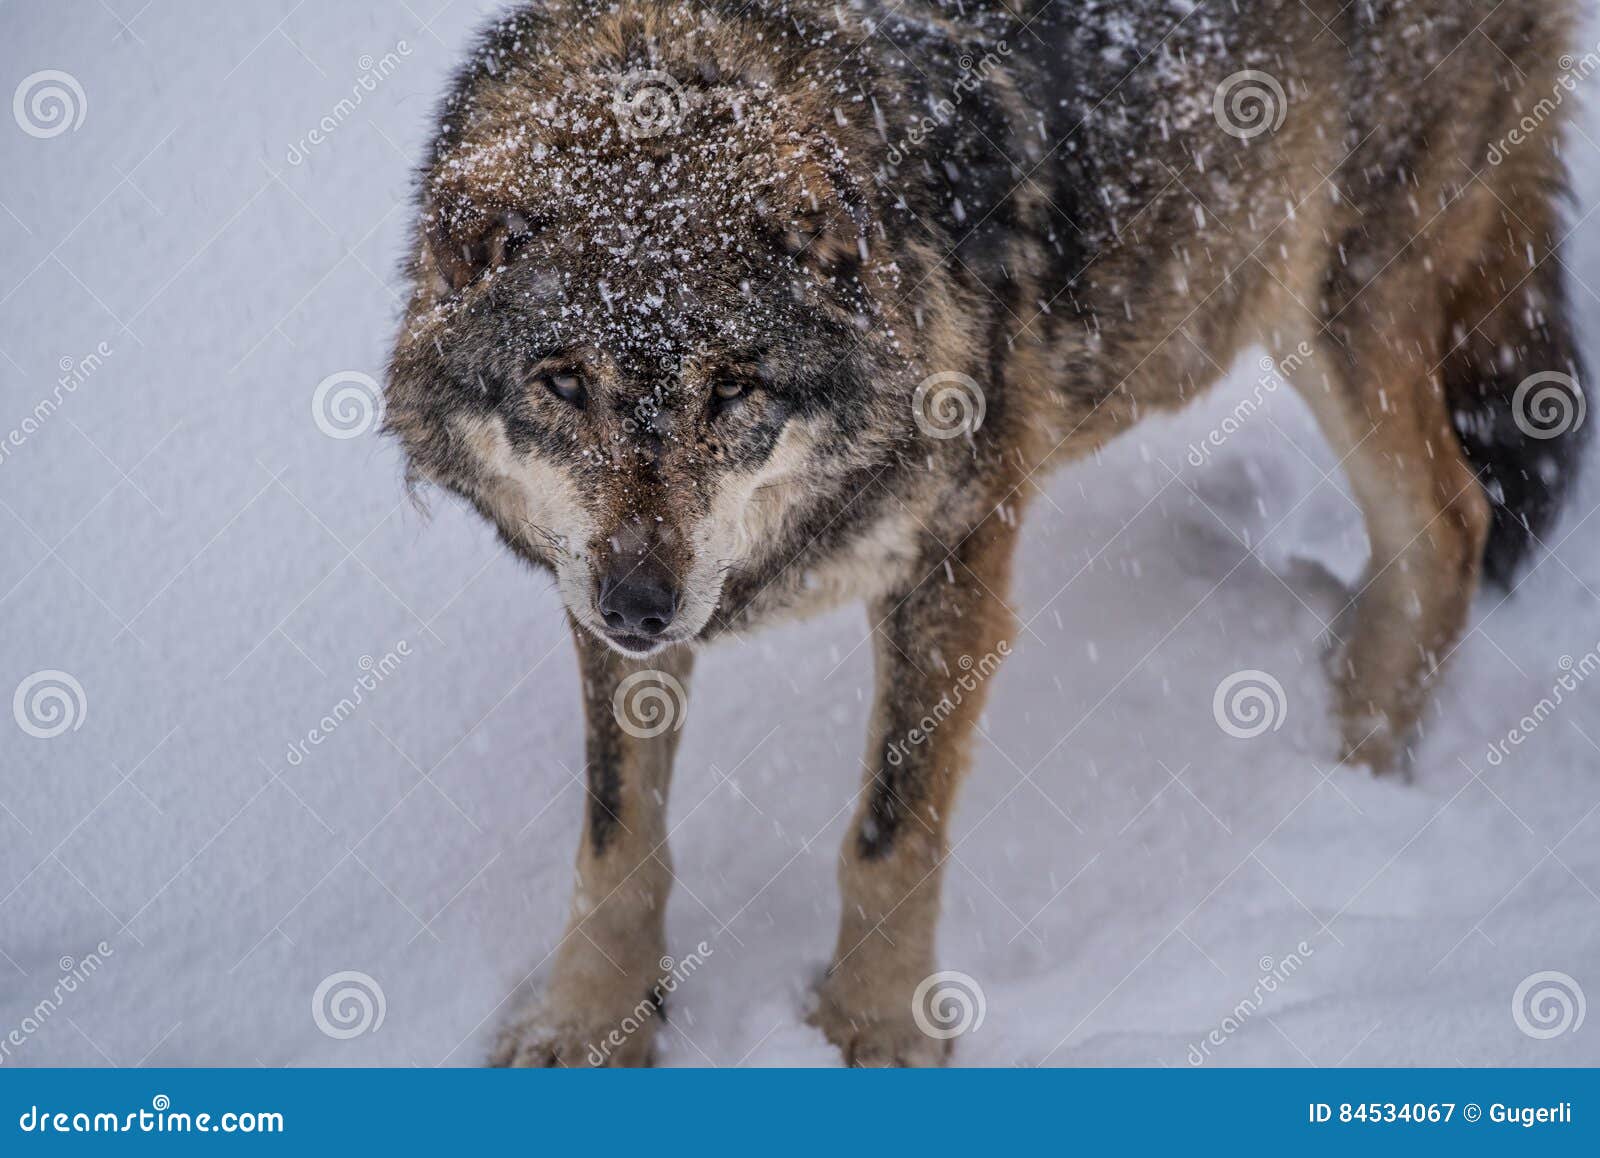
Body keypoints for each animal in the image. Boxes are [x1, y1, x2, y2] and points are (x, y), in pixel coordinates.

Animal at [385, 0, 1589, 1065]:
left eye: (732, 388)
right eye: (561, 382)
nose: (641, 603)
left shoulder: (952, 571)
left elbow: (887, 840)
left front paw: (874, 1033)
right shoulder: (595, 596)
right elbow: (617, 840)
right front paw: (587, 1028)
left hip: (1336, 299)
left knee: (1452, 520)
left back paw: (1352, 786)